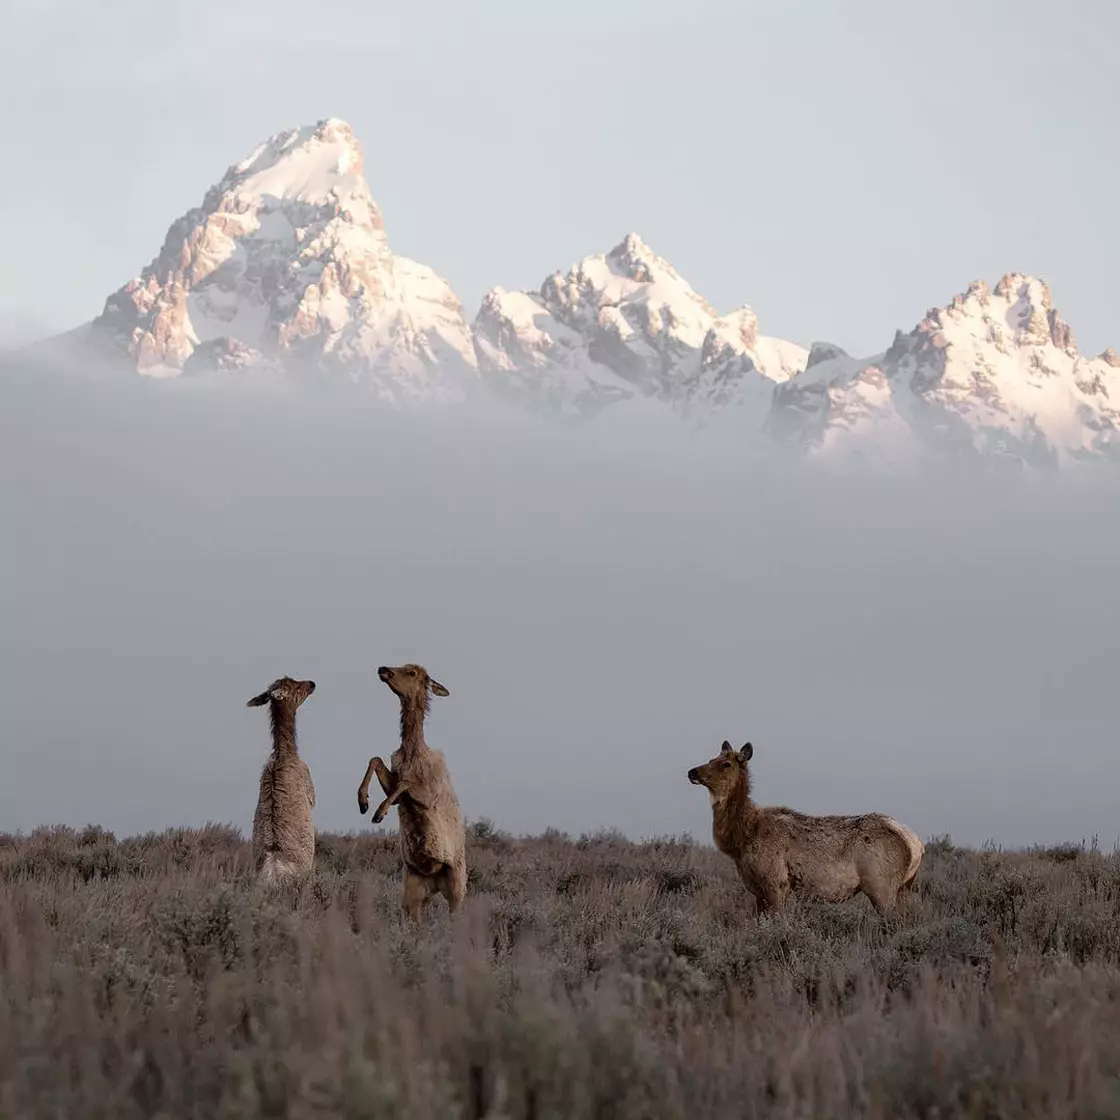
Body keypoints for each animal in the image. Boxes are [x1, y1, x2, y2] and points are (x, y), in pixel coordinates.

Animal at [356, 663, 465, 918]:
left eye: (413, 673)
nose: (383, 669)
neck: (411, 753)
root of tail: (436, 884)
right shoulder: (395, 781)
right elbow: (375, 760)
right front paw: (363, 801)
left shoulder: (424, 793)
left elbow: (405, 784)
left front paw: (378, 812)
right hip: (413, 890)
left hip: (457, 886)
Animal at [685, 739, 922, 913]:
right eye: (711, 758)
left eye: (726, 764)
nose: (692, 772)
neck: (741, 840)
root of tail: (916, 844)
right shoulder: (756, 890)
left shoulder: (777, 883)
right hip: (904, 887)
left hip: (882, 887)